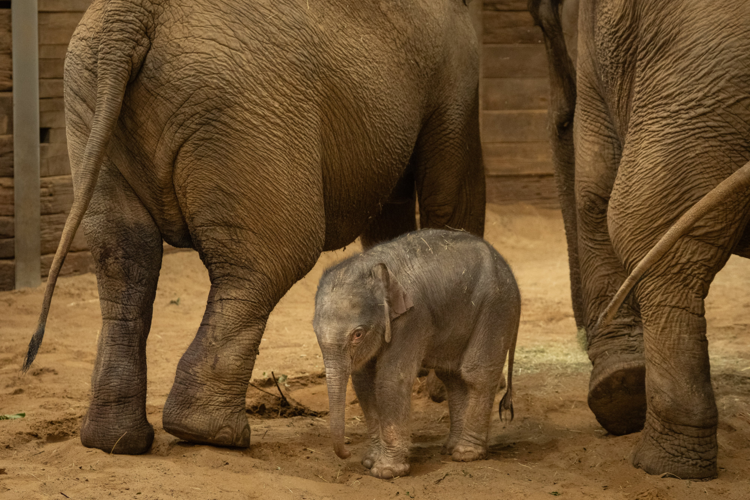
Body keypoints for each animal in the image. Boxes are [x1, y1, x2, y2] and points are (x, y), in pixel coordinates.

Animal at [23, 0, 486, 456]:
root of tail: (129, 16)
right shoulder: (456, 64)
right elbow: (450, 193)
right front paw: (436, 388)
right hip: (242, 114)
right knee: (271, 259)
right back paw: (213, 435)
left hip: (89, 102)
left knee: (125, 257)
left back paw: (118, 441)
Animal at [313, 229, 520, 479]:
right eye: (315, 331)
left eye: (358, 334)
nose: (347, 453)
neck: (373, 267)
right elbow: (363, 382)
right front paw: (370, 461)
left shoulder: (412, 318)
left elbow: (390, 379)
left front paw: (386, 471)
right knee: (452, 377)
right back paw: (450, 447)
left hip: (497, 307)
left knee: (476, 374)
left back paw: (466, 453)